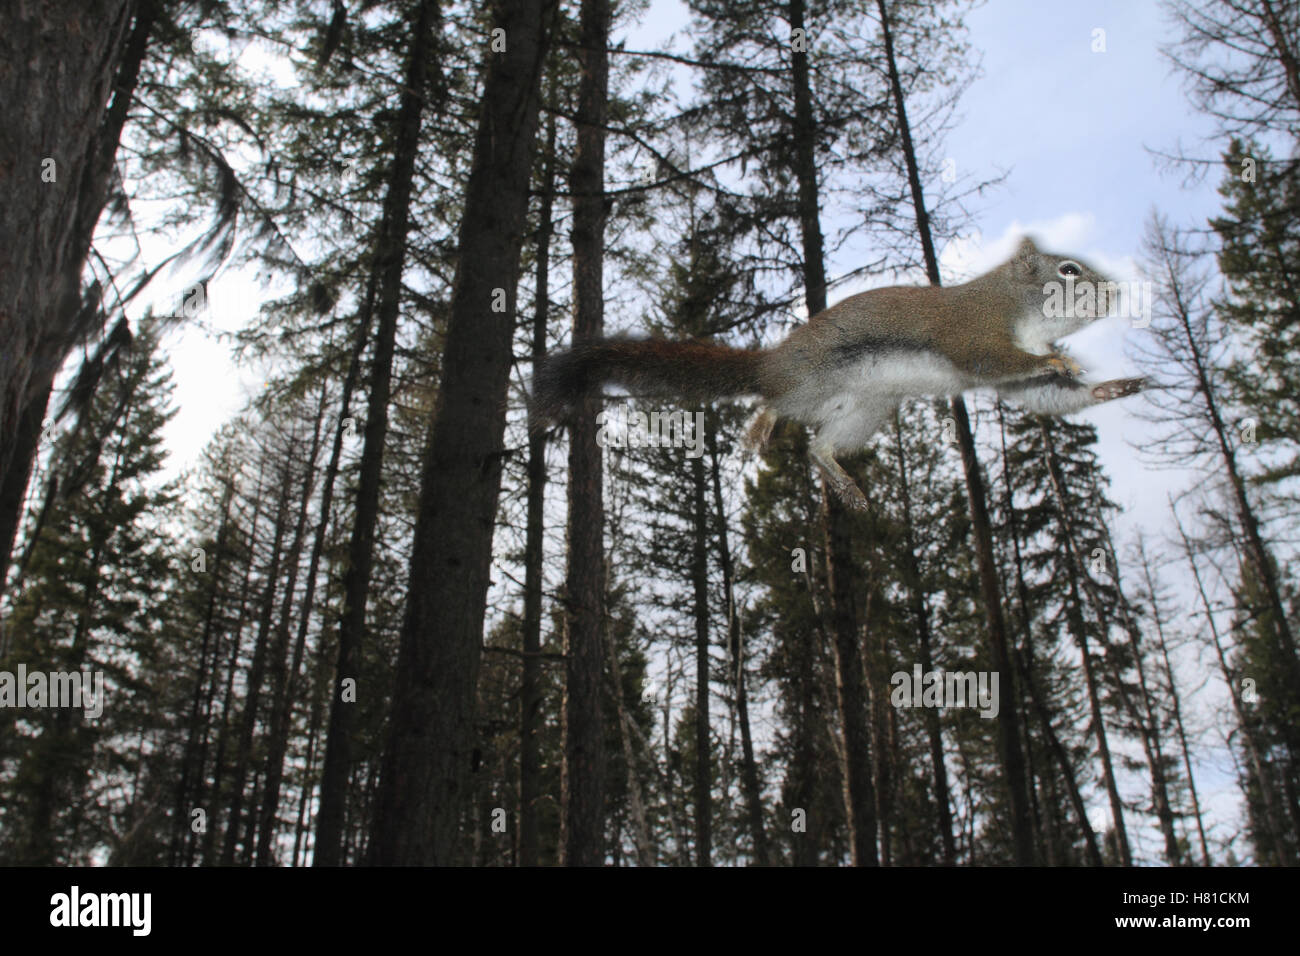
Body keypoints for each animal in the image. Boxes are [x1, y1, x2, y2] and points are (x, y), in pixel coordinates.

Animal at [532, 236, 1146, 509]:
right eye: (1069, 270)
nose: (1116, 292)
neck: (1006, 305)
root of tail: (774, 362)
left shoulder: (1002, 380)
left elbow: (1043, 397)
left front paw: (1111, 386)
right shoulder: (972, 336)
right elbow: (1005, 362)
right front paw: (1056, 359)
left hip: (863, 410)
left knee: (817, 448)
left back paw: (845, 486)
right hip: (814, 382)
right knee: (774, 402)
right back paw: (761, 425)